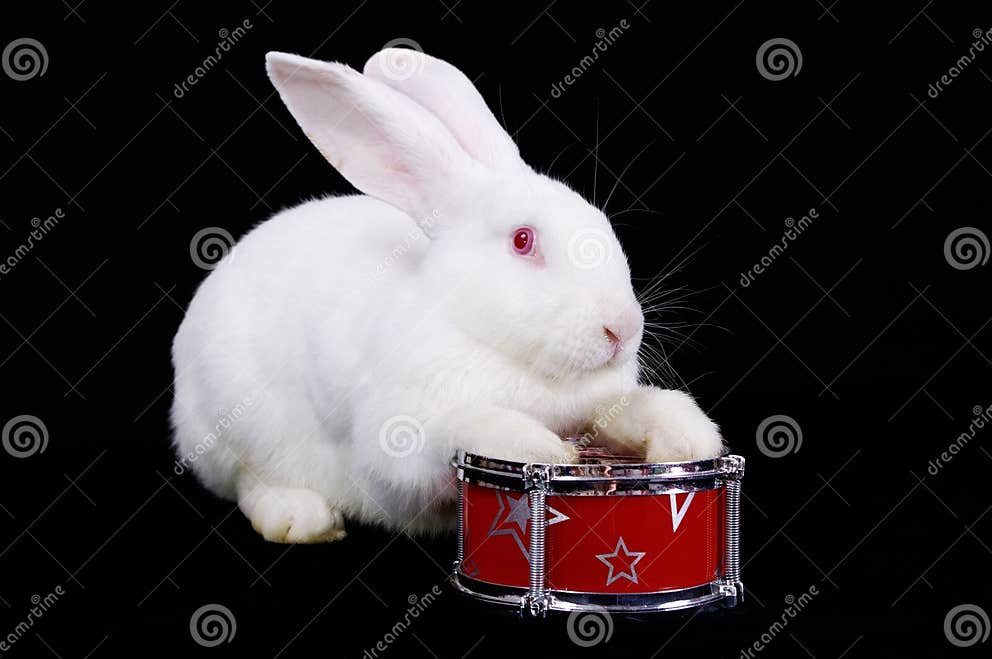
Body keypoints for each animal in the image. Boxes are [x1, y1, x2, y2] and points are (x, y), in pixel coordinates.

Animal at [169, 48, 724, 544]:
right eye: (523, 240)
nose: (622, 329)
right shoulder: (397, 445)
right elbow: (461, 429)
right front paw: (540, 448)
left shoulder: (597, 406)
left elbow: (634, 409)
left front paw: (688, 437)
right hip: (229, 425)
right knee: (245, 480)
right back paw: (300, 518)